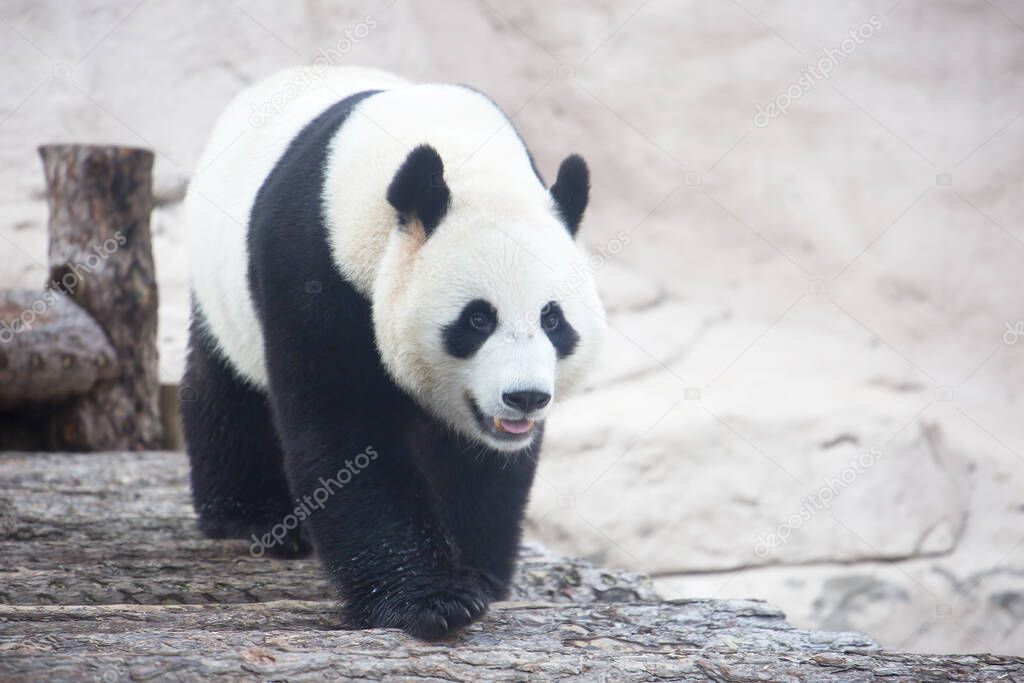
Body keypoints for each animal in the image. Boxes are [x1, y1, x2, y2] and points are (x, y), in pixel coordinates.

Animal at [182, 67, 606, 640]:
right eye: (478, 319)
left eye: (553, 320)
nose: (525, 398)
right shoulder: (314, 268)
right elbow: (346, 434)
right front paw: (430, 601)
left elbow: (483, 466)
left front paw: (477, 573)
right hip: (221, 289)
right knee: (228, 388)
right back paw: (250, 516)